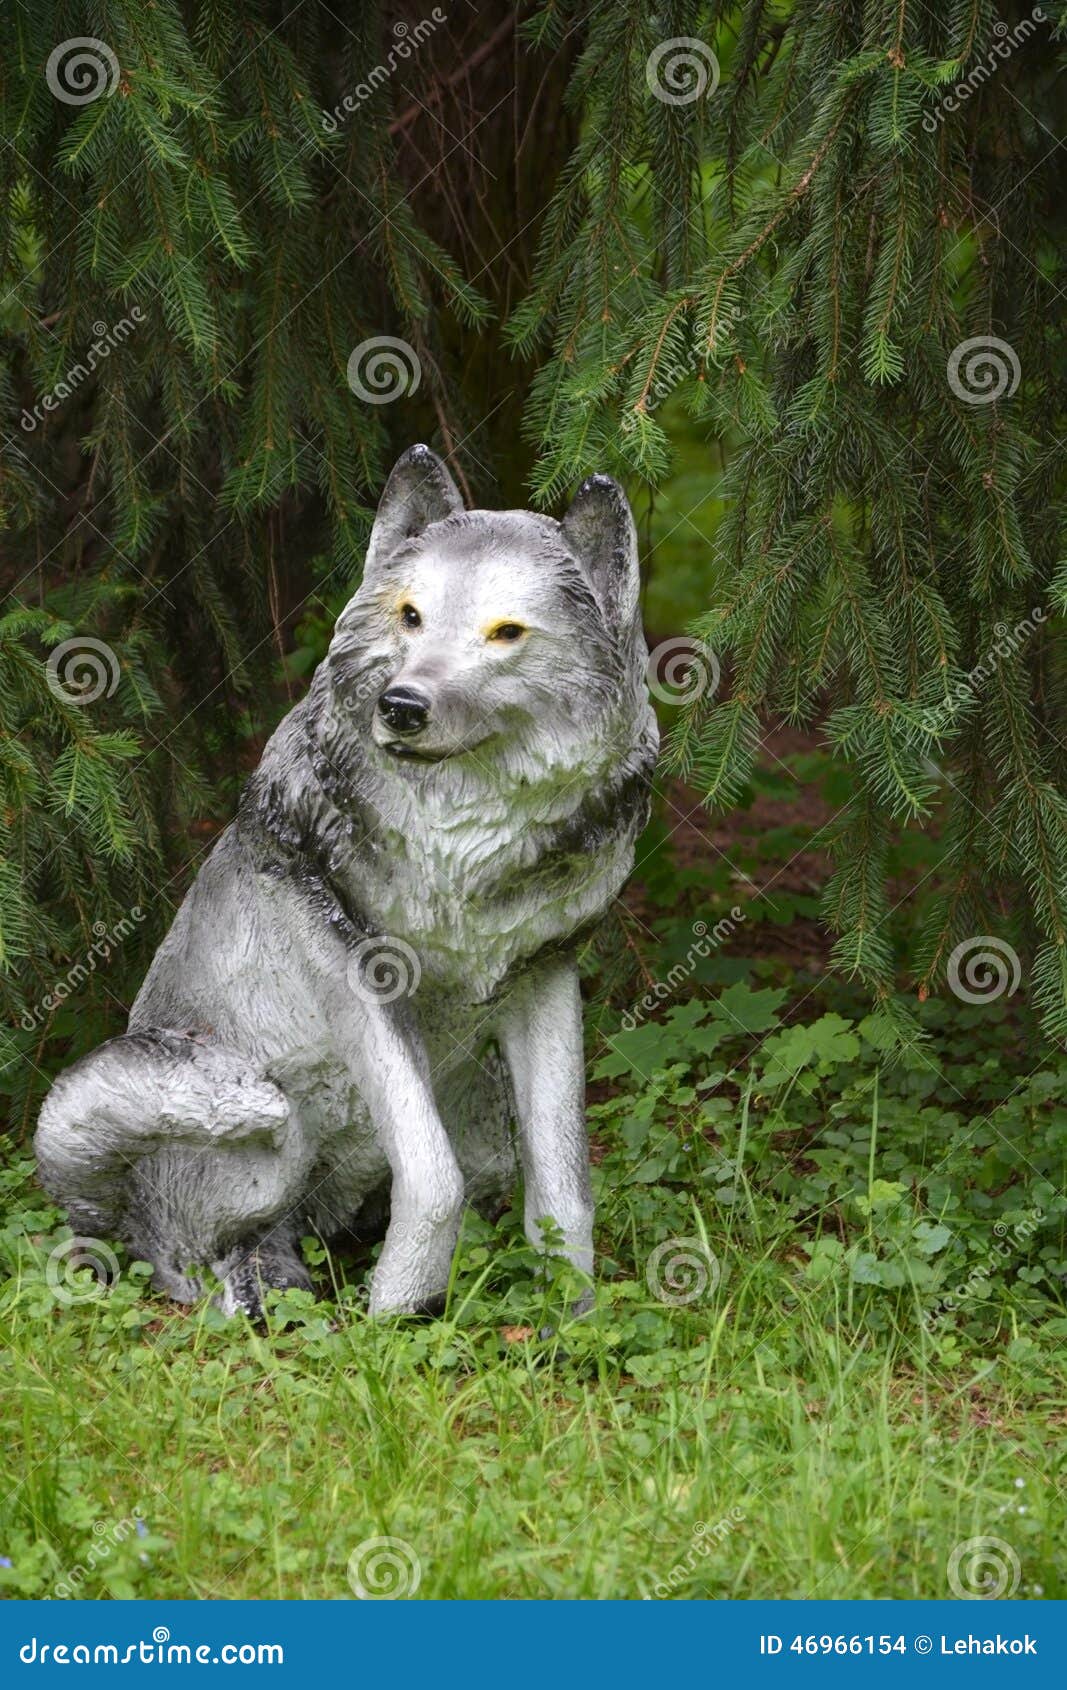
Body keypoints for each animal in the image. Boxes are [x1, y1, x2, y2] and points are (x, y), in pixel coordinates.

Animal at [35, 446, 658, 1318]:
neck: (462, 841)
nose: (401, 706)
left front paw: (569, 1310)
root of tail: (117, 1205)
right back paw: (264, 1287)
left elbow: (565, 1184)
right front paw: (395, 1312)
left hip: (480, 1121)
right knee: (191, 1253)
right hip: (245, 1116)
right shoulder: (358, 966)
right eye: (410, 617)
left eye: (505, 633)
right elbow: (431, 1174)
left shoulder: (545, 975)